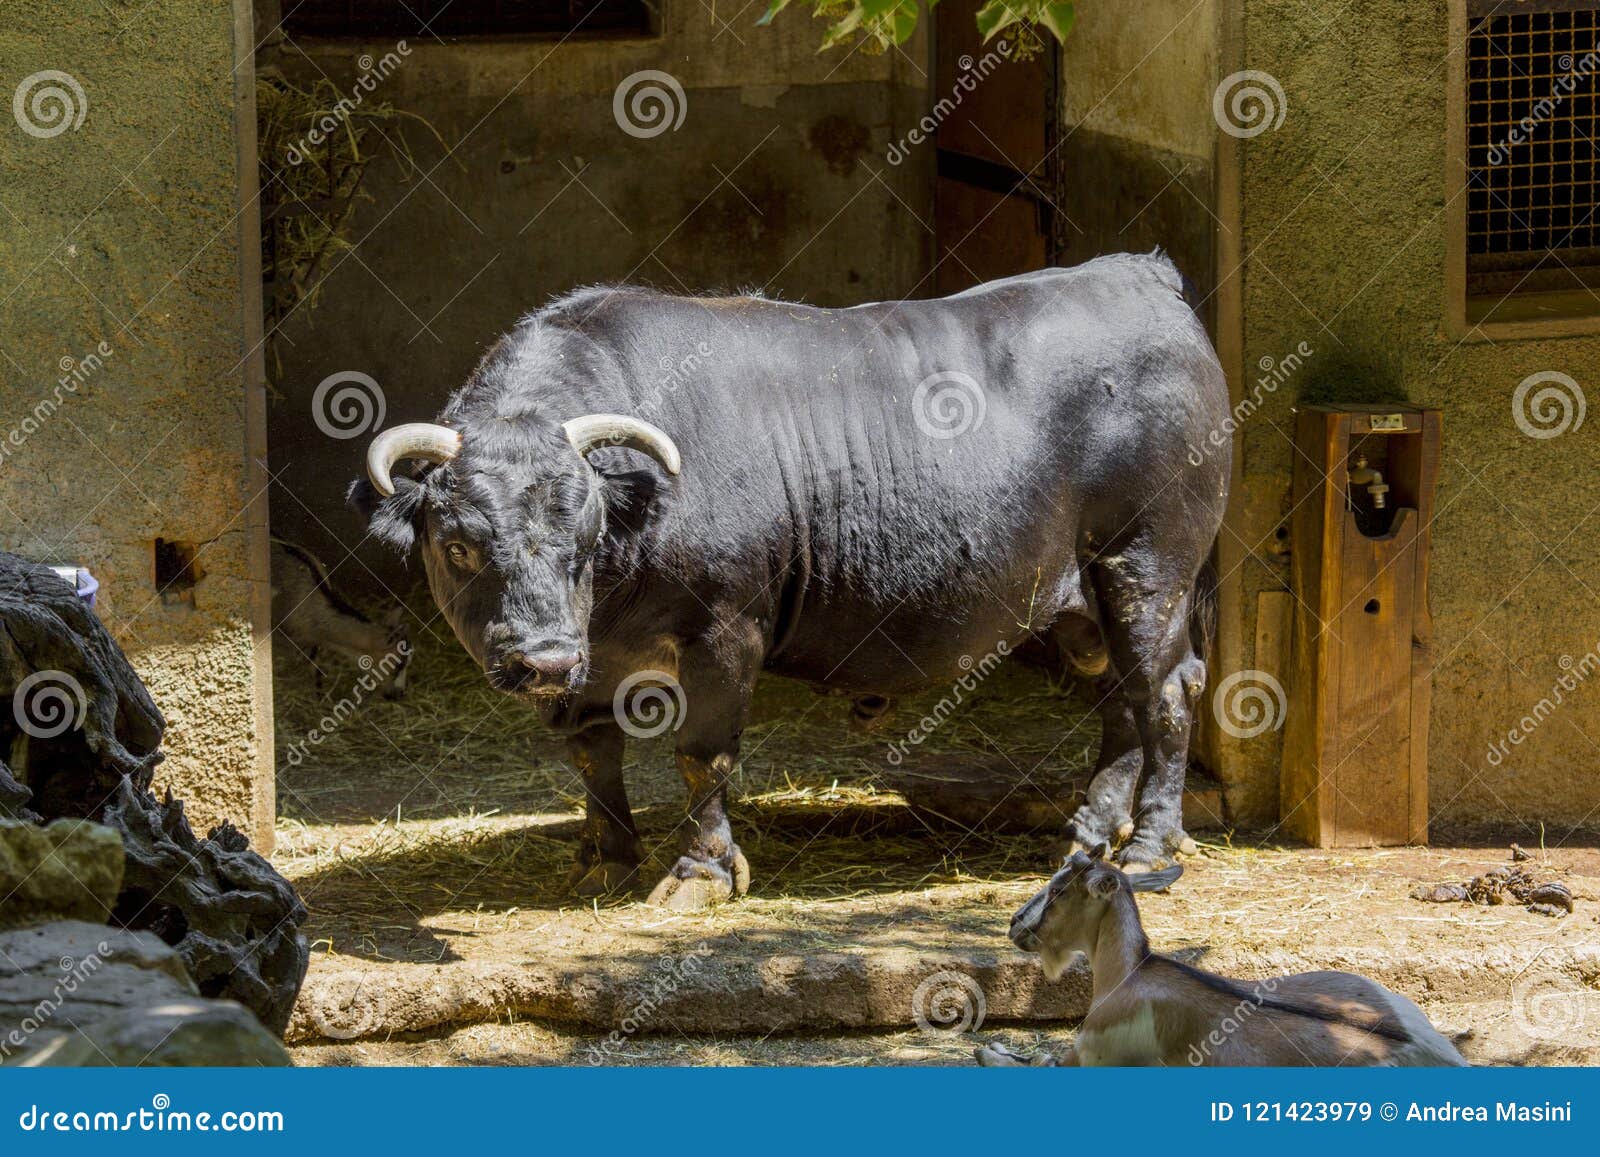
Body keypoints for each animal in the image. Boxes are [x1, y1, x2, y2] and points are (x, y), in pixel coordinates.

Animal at [349, 252, 1231, 909]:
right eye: (460, 544)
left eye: (586, 535)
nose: (541, 659)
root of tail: (1137, 274)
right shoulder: (593, 664)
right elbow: (594, 753)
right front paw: (605, 856)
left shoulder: (725, 629)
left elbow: (702, 755)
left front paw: (700, 873)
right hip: (1084, 602)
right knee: (1119, 699)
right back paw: (1089, 830)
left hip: (1147, 569)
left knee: (1166, 690)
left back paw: (1151, 845)